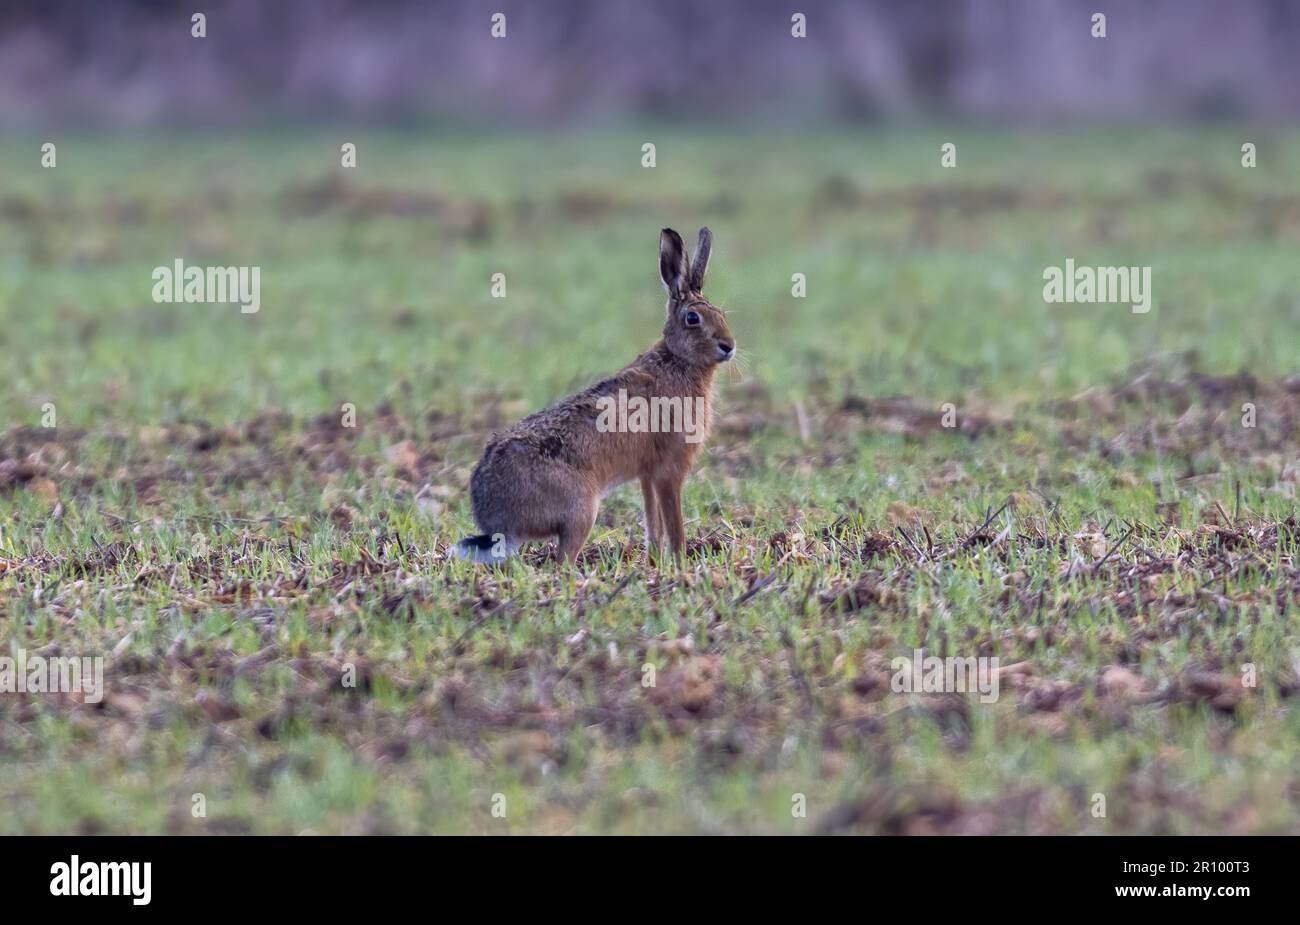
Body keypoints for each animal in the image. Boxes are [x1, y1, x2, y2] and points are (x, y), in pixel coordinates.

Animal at [454, 227, 735, 565]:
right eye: (693, 318)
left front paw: (655, 562)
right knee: (562, 561)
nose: (729, 346)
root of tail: (496, 521)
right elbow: (673, 524)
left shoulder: (647, 475)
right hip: (582, 511)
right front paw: (681, 565)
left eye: (722, 315)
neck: (679, 360)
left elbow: (653, 522)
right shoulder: (669, 470)